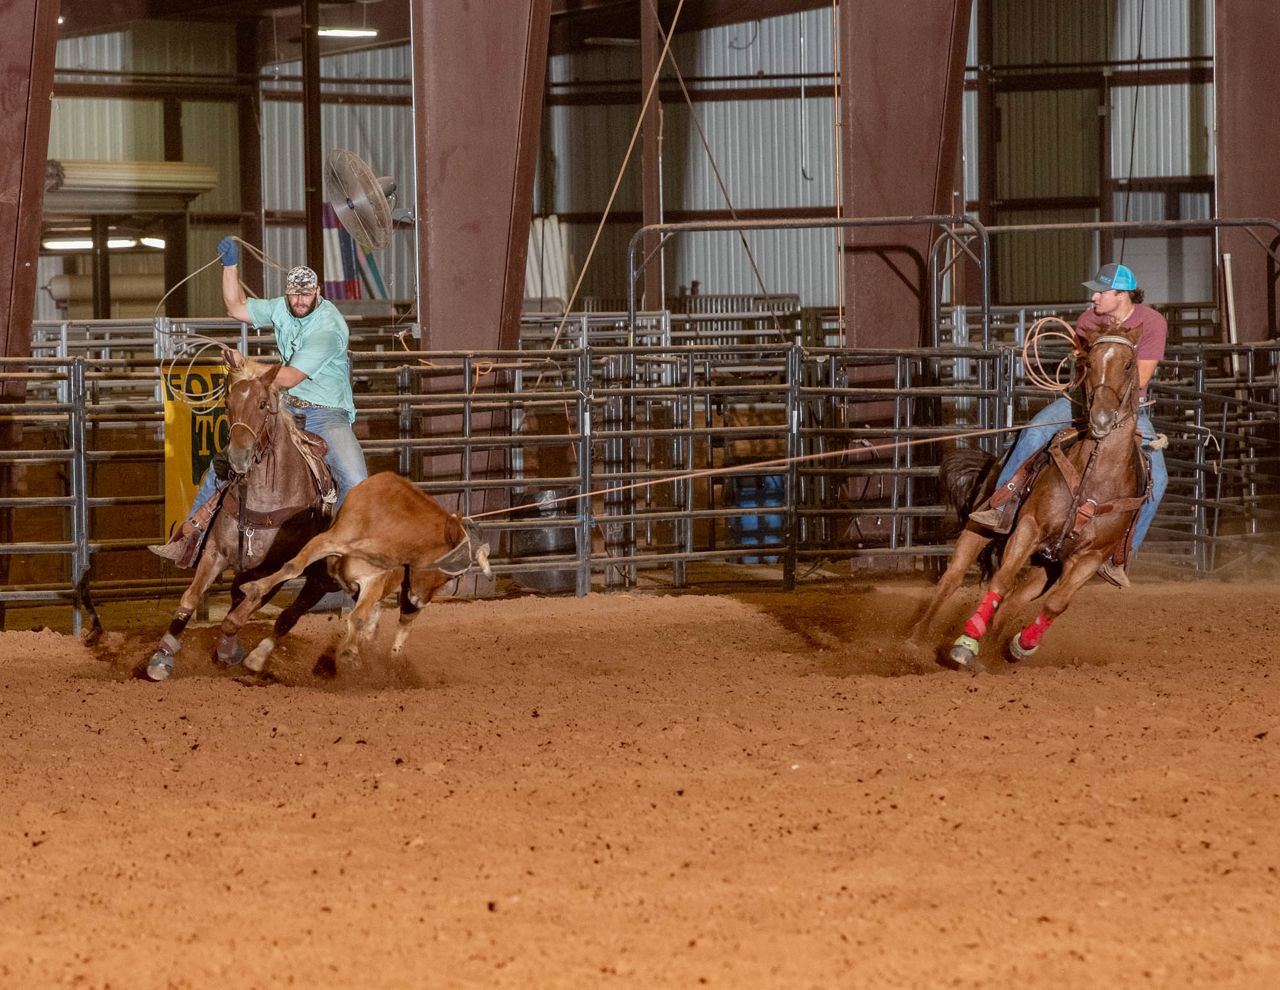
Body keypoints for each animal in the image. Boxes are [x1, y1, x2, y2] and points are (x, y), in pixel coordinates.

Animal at [145, 361, 337, 681]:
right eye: (228, 403)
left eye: (262, 404)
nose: (238, 456)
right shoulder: (216, 553)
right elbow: (190, 599)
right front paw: (163, 656)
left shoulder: (272, 570)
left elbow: (234, 619)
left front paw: (228, 652)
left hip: (317, 579)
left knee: (290, 614)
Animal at [916, 324, 1157, 671]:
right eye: (1088, 362)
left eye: (1127, 364)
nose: (1100, 419)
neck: (1094, 480)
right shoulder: (1029, 527)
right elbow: (1001, 582)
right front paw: (965, 644)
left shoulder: (1091, 556)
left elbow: (1056, 603)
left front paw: (1021, 645)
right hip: (980, 528)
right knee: (951, 579)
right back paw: (915, 643)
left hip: (1046, 567)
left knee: (1014, 602)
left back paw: (990, 654)